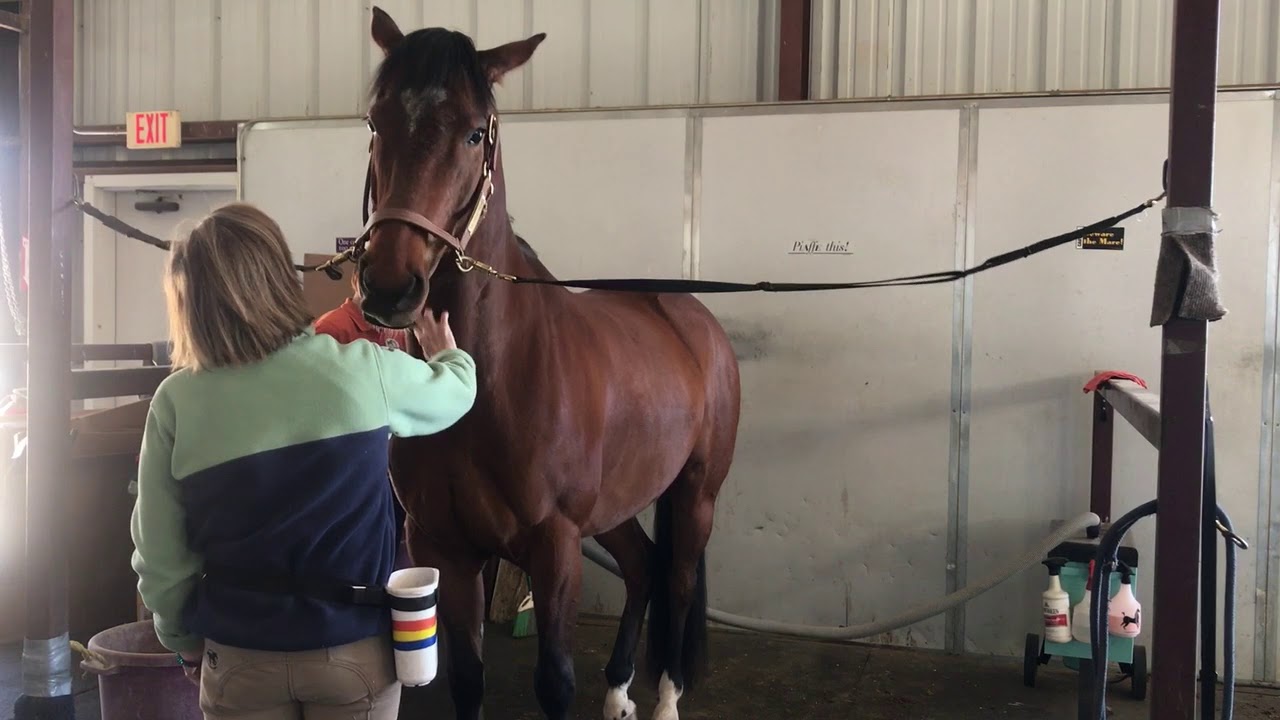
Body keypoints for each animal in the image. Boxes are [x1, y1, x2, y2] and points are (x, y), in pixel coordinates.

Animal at [353, 8, 742, 720]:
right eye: (375, 121)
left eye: (475, 132)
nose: (391, 287)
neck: (489, 380)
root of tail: (695, 323)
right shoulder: (444, 548)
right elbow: (467, 678)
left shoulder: (556, 545)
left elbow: (554, 680)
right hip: (615, 506)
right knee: (642, 565)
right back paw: (617, 691)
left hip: (696, 494)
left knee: (675, 580)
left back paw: (666, 698)